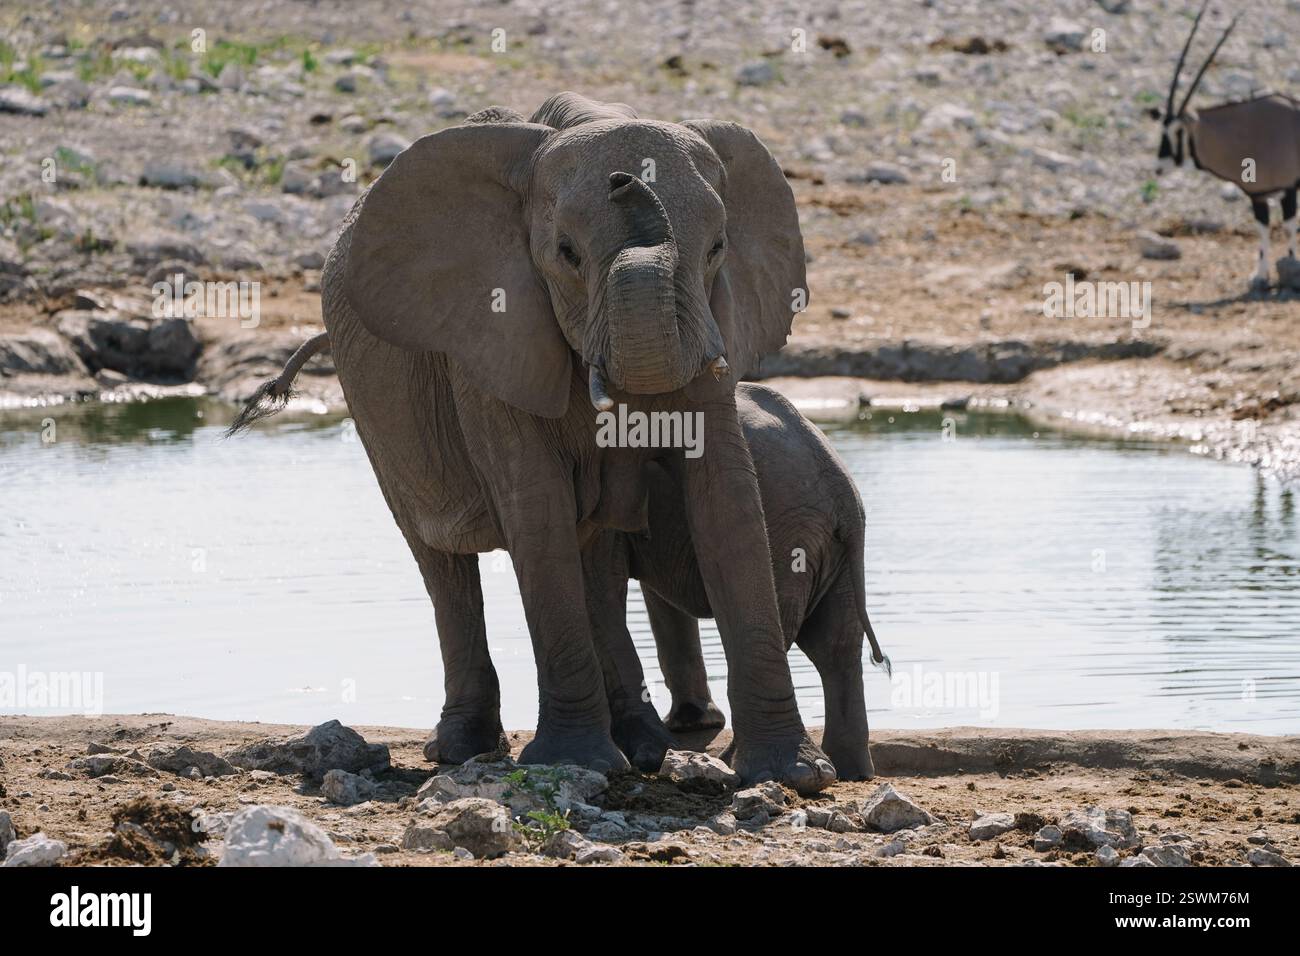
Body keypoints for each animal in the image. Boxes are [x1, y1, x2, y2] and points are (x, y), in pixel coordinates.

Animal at [229, 92, 838, 793]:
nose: (627, 181)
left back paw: (644, 749)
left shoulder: (718, 322)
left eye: (717, 247)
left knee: (595, 555)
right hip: (376, 412)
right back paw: (465, 748)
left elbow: (728, 499)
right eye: (566, 253)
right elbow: (536, 504)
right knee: (441, 559)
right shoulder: (488, 333)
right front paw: (573, 764)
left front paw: (793, 774)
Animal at [585, 383, 889, 779]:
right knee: (836, 646)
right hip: (833, 548)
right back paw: (854, 771)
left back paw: (735, 763)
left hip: (786, 534)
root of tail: (842, 492)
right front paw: (690, 724)